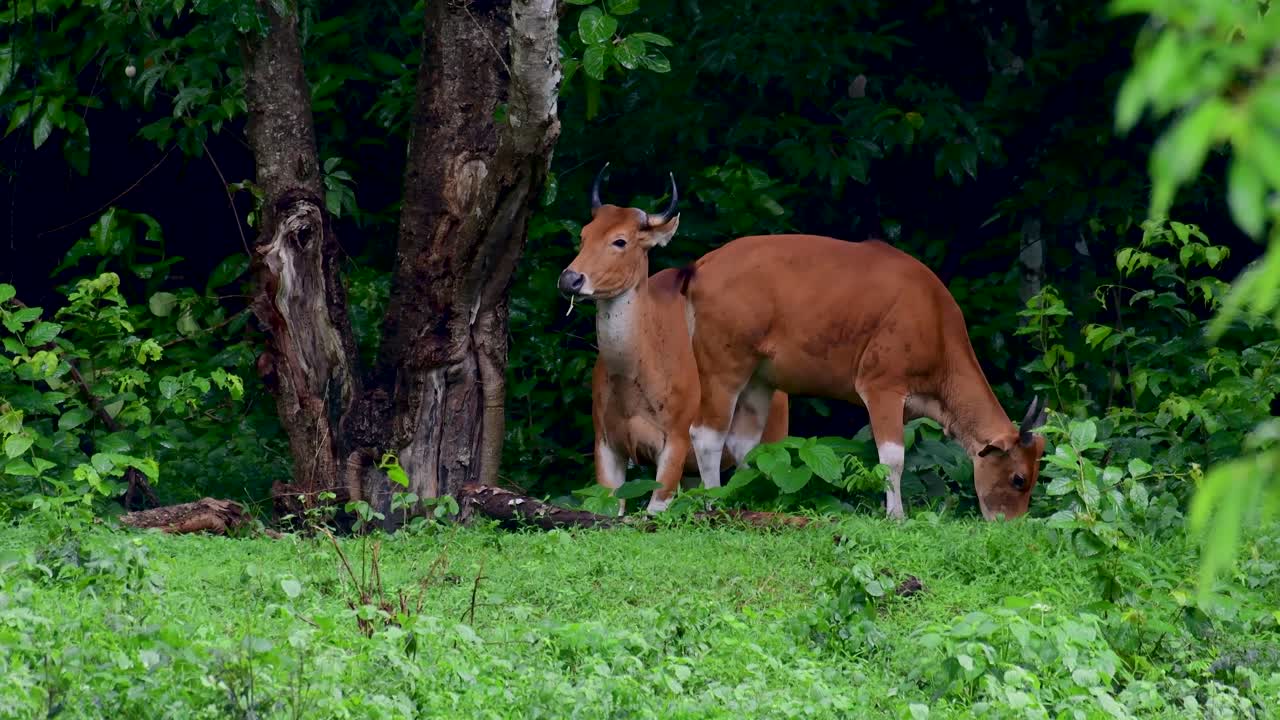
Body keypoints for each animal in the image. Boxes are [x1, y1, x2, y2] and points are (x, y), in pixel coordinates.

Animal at [557, 165, 790, 514]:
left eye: (620, 240)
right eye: (584, 235)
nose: (570, 279)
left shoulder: (676, 439)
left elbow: (655, 510)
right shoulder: (606, 442)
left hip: (773, 440)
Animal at [678, 233, 1048, 520]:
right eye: (1018, 479)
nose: (1011, 524)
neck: (934, 323)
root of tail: (702, 265)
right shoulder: (882, 387)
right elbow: (893, 458)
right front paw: (896, 515)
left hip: (759, 380)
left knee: (745, 444)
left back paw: (748, 499)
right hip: (723, 367)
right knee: (706, 435)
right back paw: (712, 504)